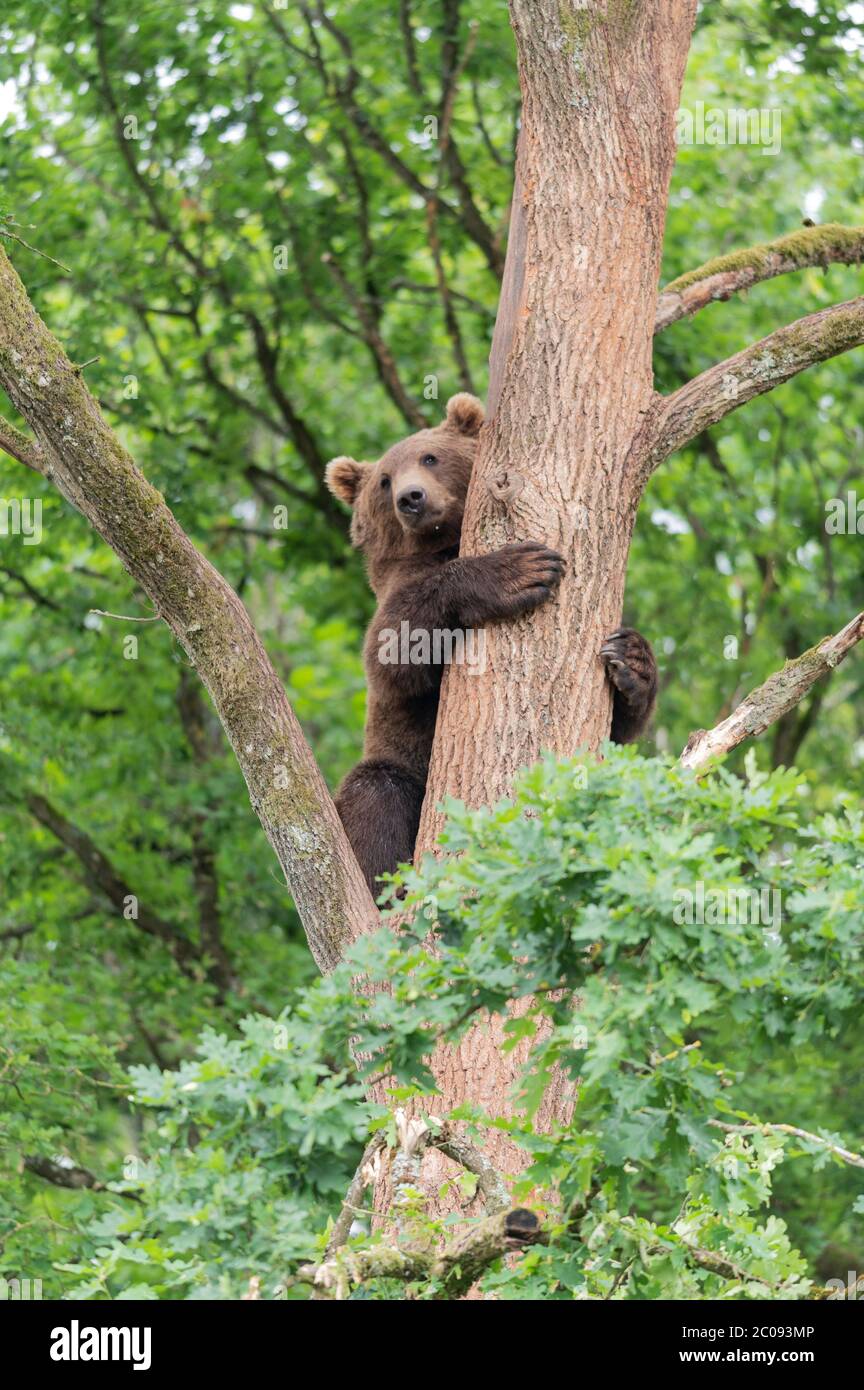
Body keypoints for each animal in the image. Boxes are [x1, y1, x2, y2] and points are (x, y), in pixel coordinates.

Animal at [325, 393, 657, 897]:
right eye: (384, 480)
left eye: (430, 457)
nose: (411, 498)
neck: (446, 540)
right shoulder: (397, 590)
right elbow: (393, 653)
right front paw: (520, 570)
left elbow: (616, 727)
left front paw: (631, 659)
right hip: (401, 765)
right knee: (376, 792)